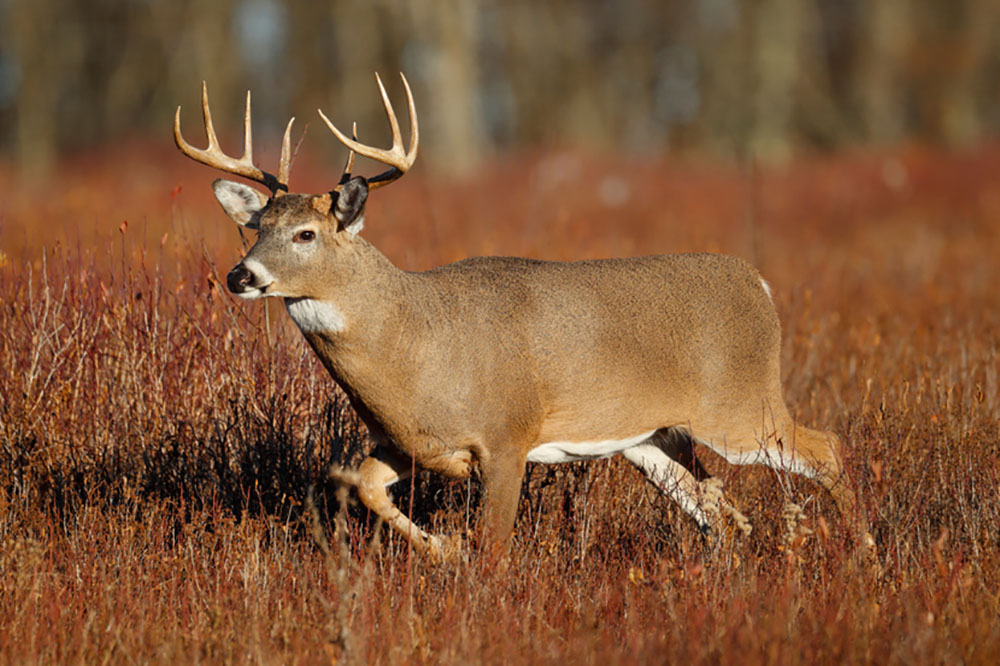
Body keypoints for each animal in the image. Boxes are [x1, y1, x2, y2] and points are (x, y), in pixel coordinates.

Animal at [174, 74, 869, 560]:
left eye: (307, 234)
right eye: (255, 228)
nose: (240, 276)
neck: (415, 344)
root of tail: (758, 282)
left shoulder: (507, 435)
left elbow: (496, 549)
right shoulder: (405, 441)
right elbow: (357, 483)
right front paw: (443, 550)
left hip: (740, 407)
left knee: (826, 448)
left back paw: (865, 552)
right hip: (652, 438)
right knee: (715, 505)